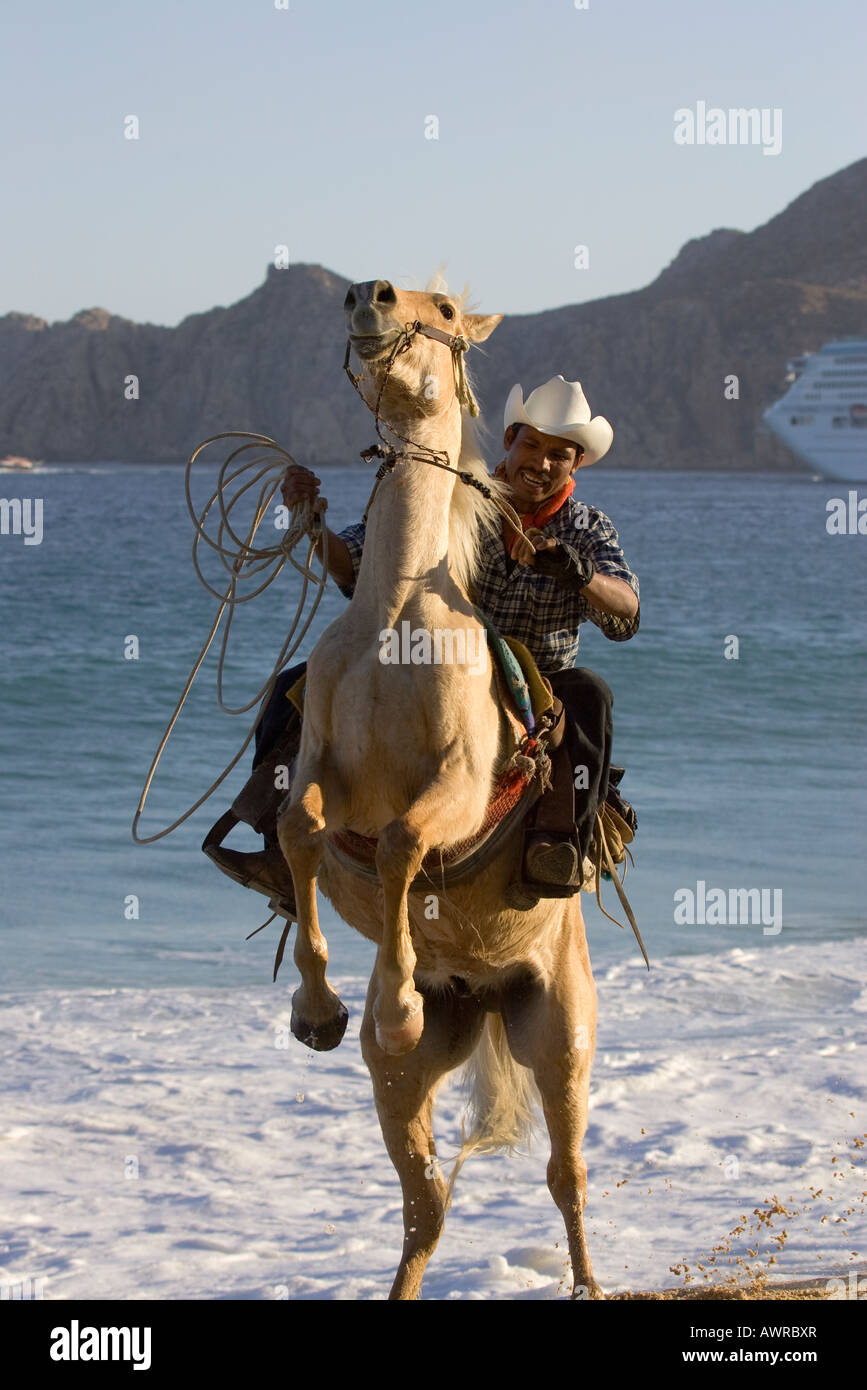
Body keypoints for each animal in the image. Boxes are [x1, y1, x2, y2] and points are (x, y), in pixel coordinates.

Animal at [277, 277, 601, 1300]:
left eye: (448, 311)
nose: (368, 296)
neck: (396, 616)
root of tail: (488, 991)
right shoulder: (317, 767)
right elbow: (303, 827)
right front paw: (320, 1008)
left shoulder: (457, 788)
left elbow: (402, 845)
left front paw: (394, 1003)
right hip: (404, 1089)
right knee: (425, 1206)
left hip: (560, 1038)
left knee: (567, 1175)